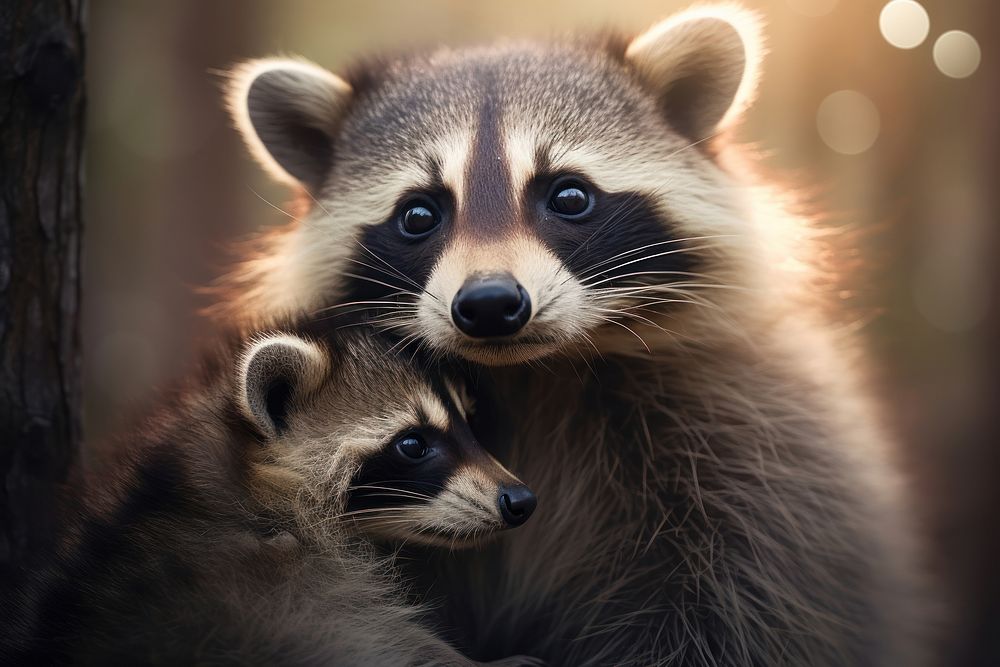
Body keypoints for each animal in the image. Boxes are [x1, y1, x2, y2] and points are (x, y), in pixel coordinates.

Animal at [217, 4, 926, 665]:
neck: (530, 370)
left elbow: (741, 599)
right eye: (418, 214)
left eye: (569, 196)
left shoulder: (755, 440)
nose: (491, 305)